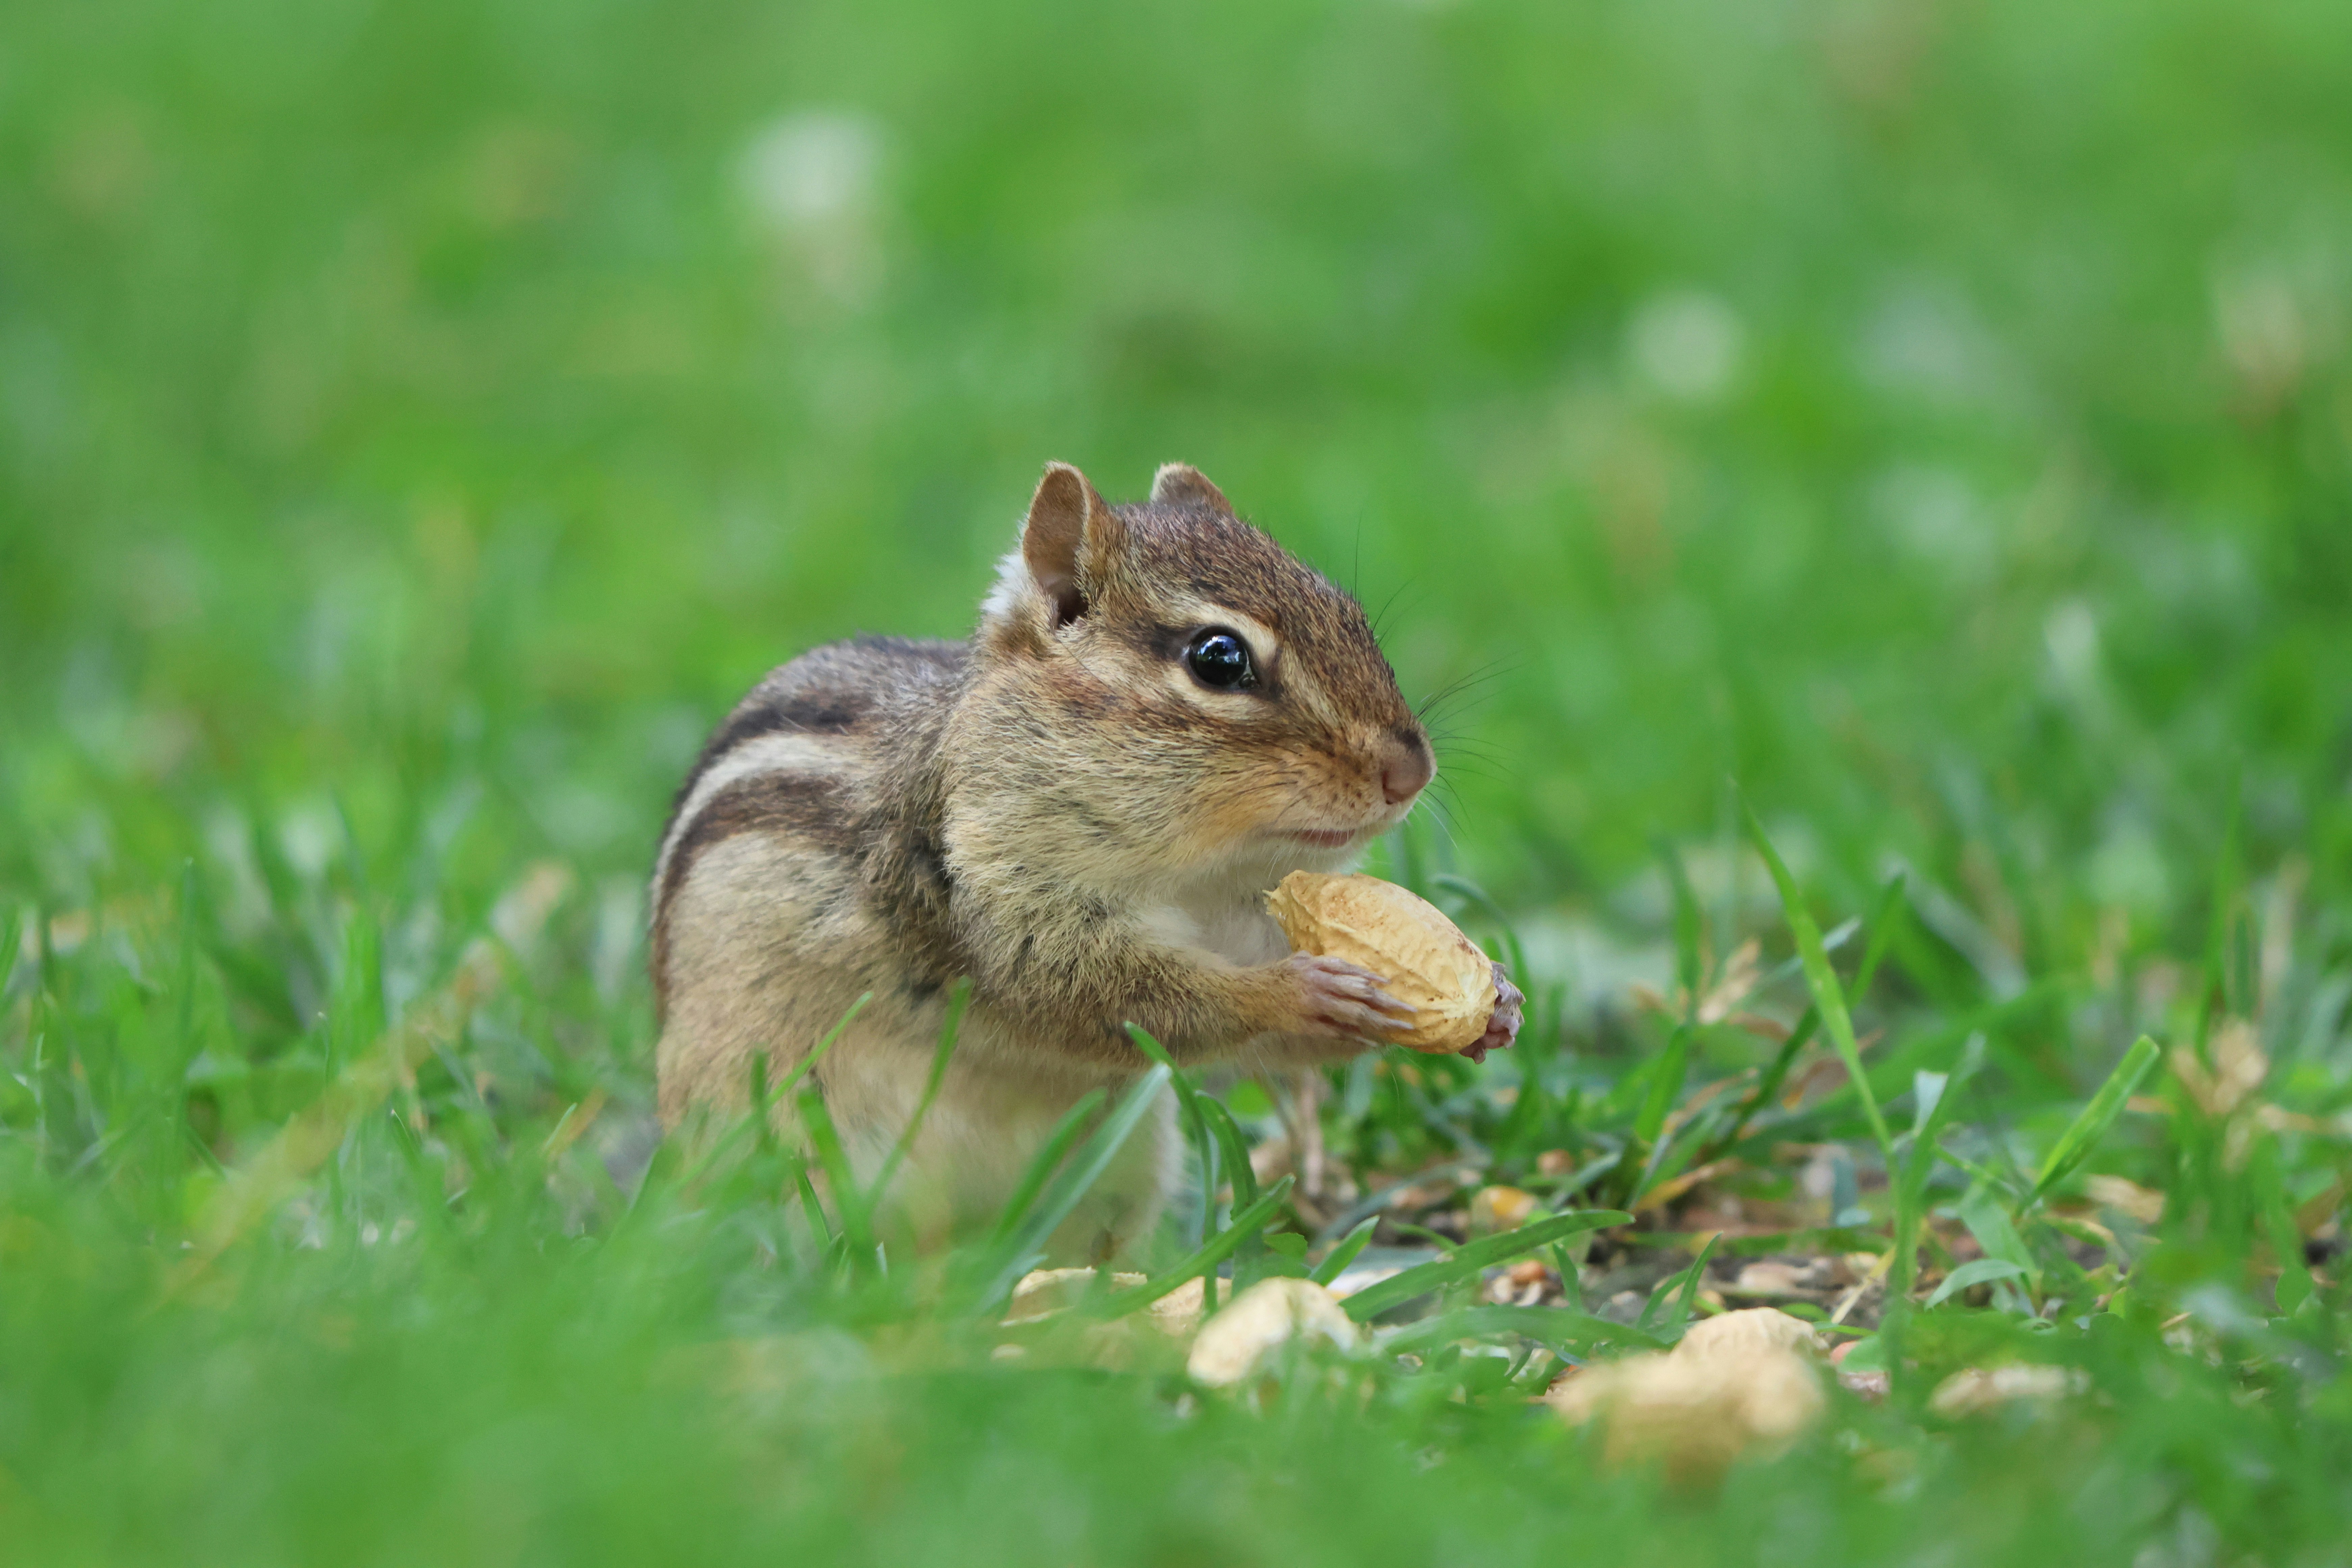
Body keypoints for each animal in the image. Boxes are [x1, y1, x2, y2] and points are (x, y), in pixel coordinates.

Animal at [649, 461, 1523, 1258]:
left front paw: (1494, 999)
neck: (1195, 873)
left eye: (1348, 610)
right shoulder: (989, 898)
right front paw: (1298, 992)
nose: (1411, 770)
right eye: (1218, 658)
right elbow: (1101, 994)